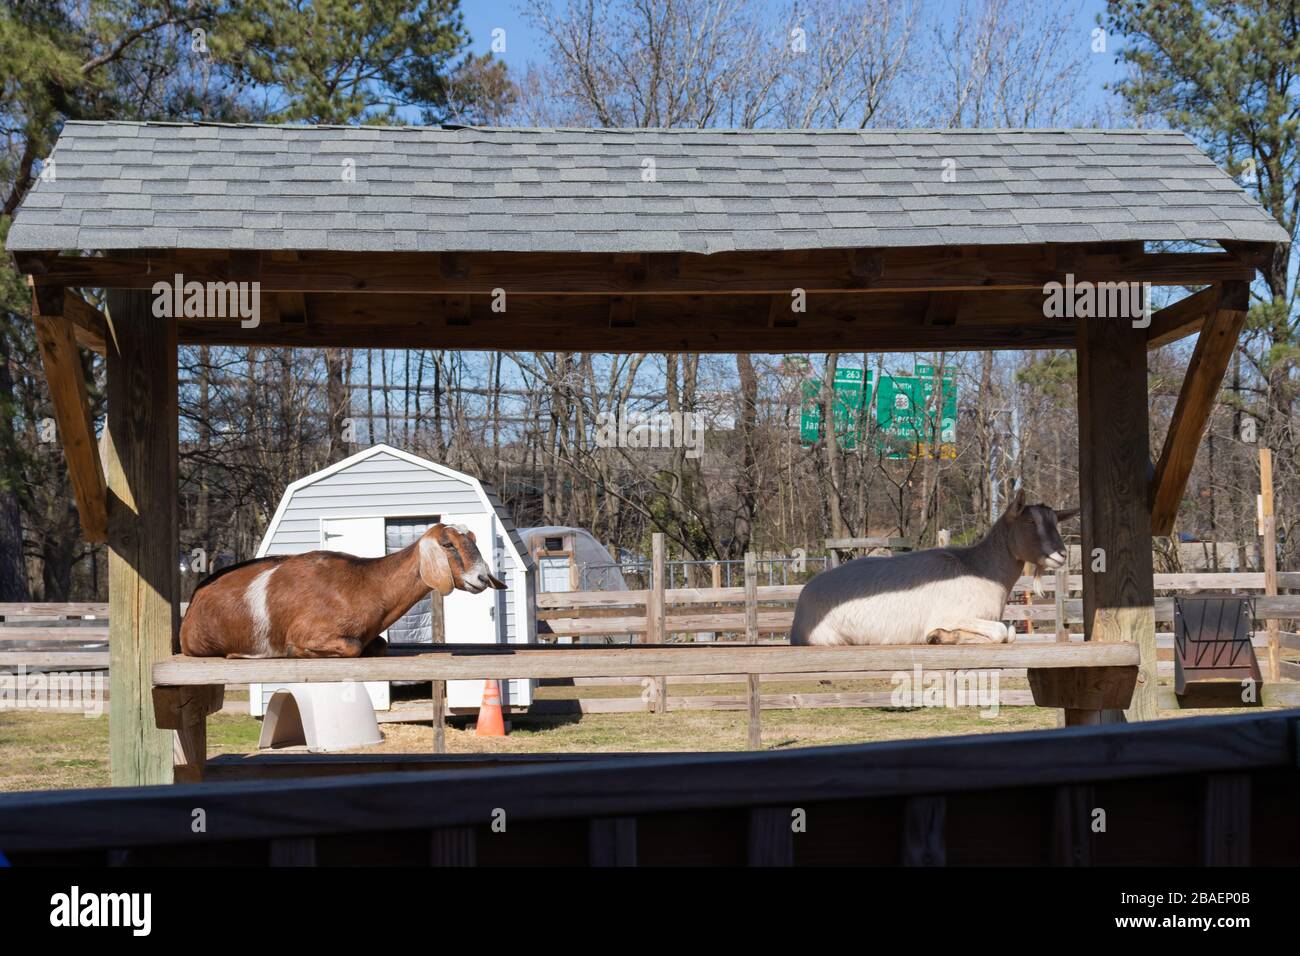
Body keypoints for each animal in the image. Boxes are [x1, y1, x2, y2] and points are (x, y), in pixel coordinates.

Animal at [179, 523, 506, 658]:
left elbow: (377, 645)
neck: (367, 586)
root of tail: (194, 602)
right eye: (448, 544)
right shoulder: (310, 631)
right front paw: (292, 651)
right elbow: (351, 647)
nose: (481, 577)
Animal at [790, 490, 1078, 646]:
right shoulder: (951, 614)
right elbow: (1000, 632)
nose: (1062, 554)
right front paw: (939, 636)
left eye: (1055, 521)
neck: (979, 568)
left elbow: (1009, 631)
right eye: (1029, 521)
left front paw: (942, 637)